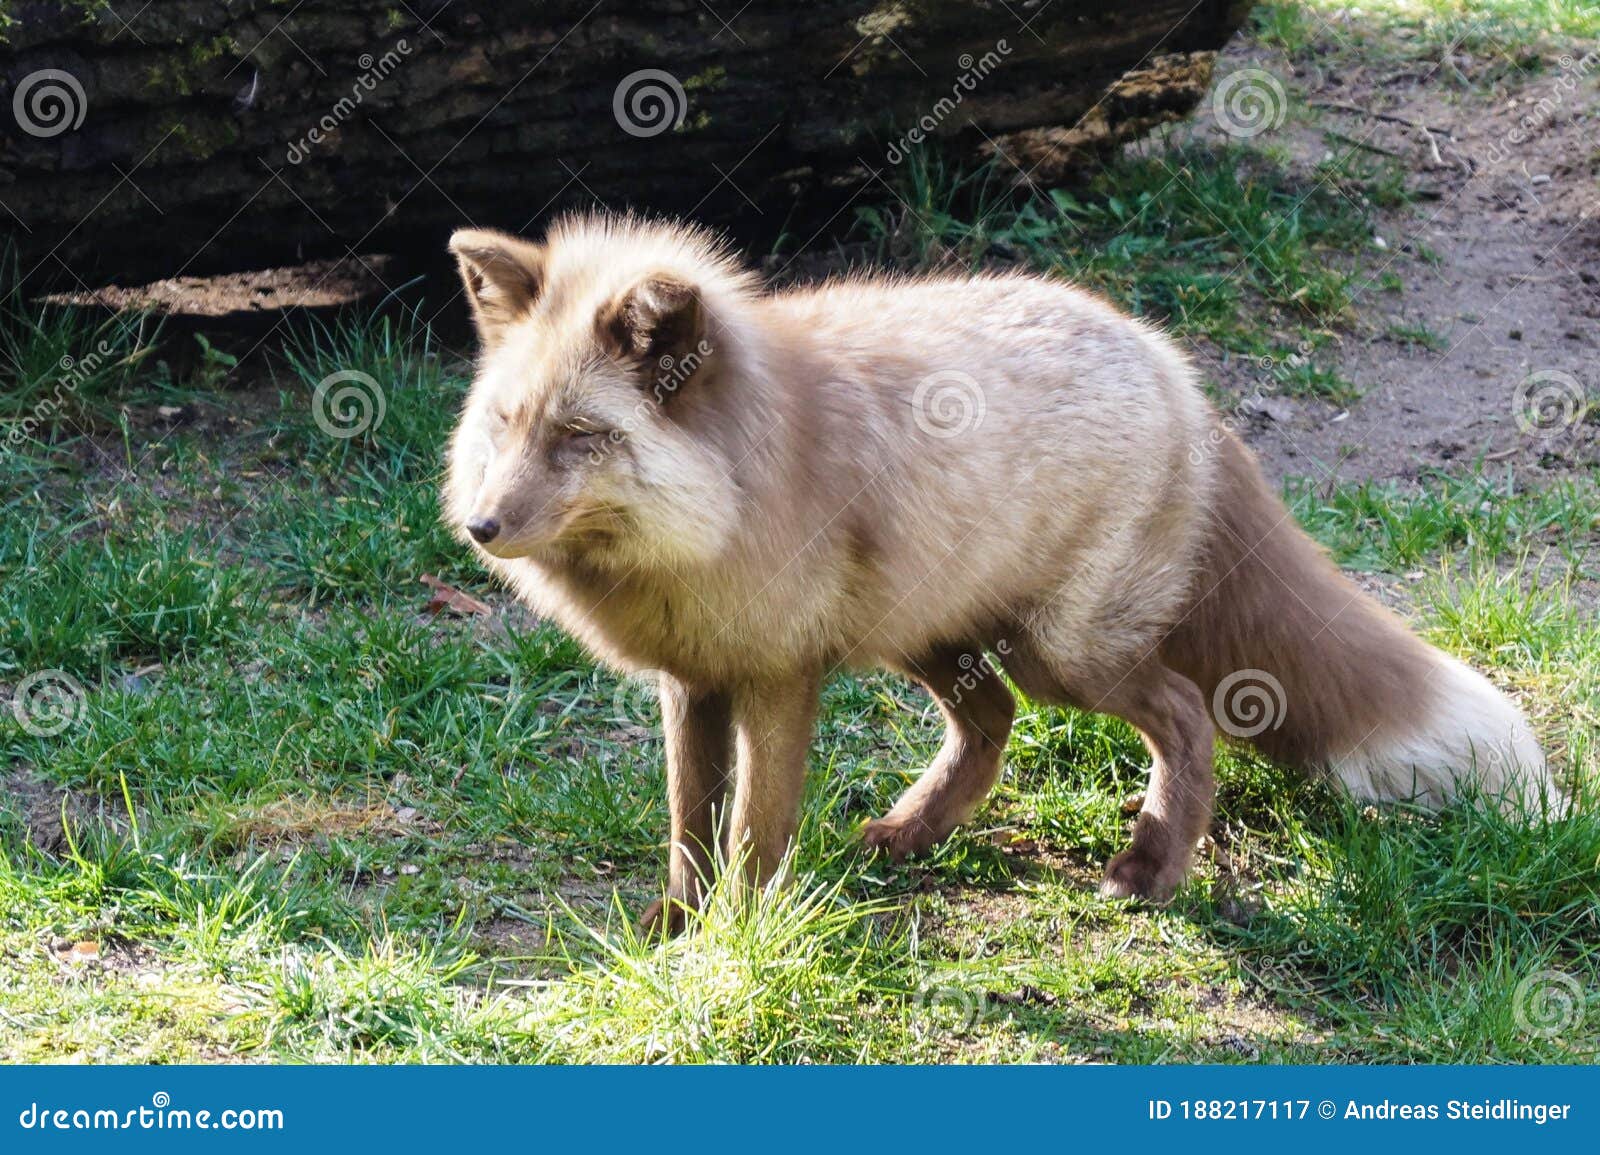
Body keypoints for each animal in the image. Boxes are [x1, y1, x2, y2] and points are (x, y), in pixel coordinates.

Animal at [442, 213, 1564, 934]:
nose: (483, 526)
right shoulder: (693, 681)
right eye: (506, 422)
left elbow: (756, 831)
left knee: (1185, 716)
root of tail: (1179, 376)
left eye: (580, 436)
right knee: (991, 729)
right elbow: (689, 824)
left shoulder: (777, 677)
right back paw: (908, 835)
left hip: (1065, 655)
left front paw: (739, 935)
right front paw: (675, 926)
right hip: (938, 638)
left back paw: (1149, 872)